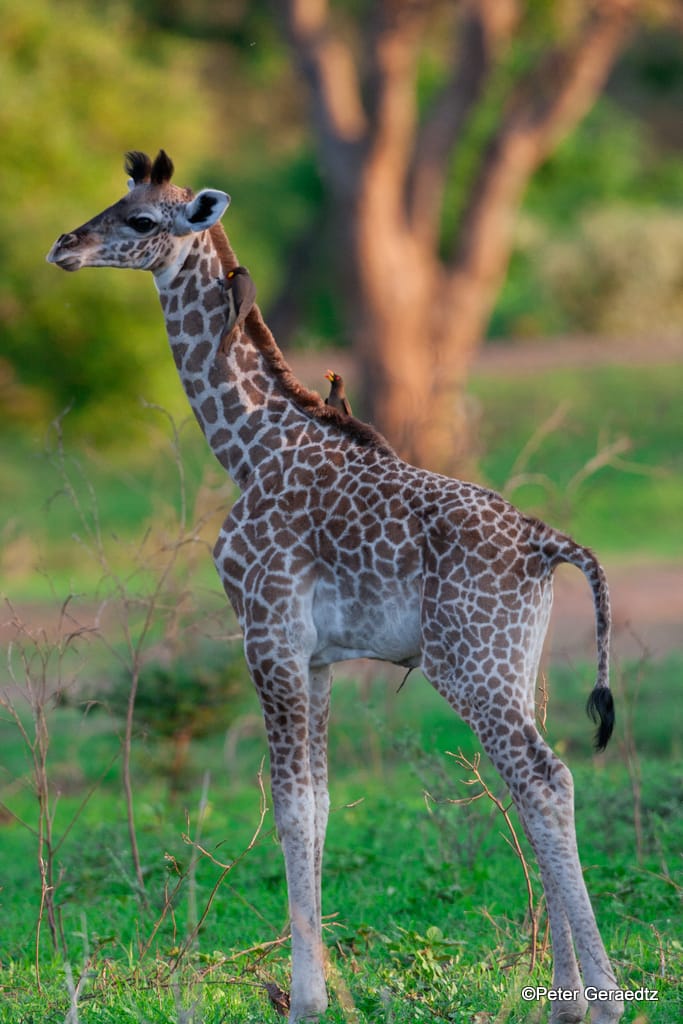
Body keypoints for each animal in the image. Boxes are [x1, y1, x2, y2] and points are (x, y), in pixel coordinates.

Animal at [47, 150, 624, 1024]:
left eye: (141, 220)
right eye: (115, 202)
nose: (65, 246)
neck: (248, 447)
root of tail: (544, 542)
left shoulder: (268, 633)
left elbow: (288, 808)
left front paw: (306, 998)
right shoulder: (316, 656)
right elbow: (316, 806)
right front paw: (310, 985)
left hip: (470, 664)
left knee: (543, 779)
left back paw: (606, 998)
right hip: (516, 661)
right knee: (529, 785)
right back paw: (561, 1000)